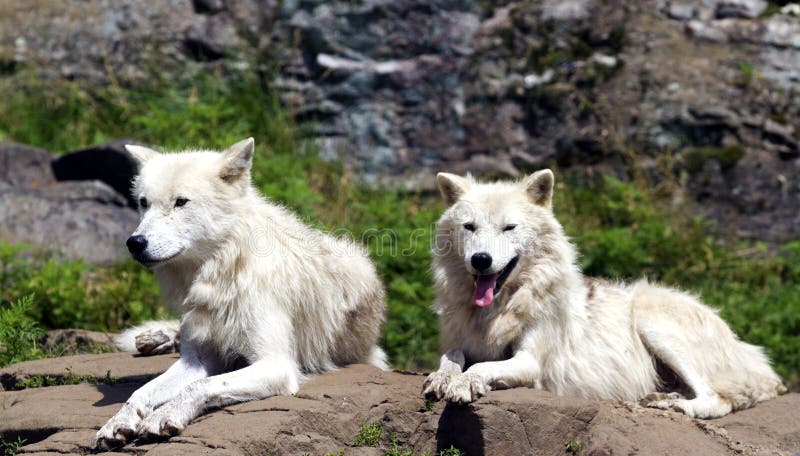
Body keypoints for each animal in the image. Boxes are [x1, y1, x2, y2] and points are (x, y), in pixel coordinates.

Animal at [93, 138, 387, 449]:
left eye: (181, 202)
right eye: (143, 203)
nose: (134, 242)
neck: (221, 274)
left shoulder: (276, 366)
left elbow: (201, 385)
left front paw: (164, 416)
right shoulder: (196, 360)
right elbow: (141, 392)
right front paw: (117, 423)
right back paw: (155, 338)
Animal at [422, 170, 785, 419]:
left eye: (509, 227)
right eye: (469, 227)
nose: (480, 260)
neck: (500, 308)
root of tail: (748, 350)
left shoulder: (531, 363)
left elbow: (482, 367)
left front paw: (465, 383)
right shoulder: (460, 341)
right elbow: (452, 356)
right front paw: (443, 377)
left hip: (653, 320)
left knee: (718, 400)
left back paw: (674, 407)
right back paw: (662, 398)